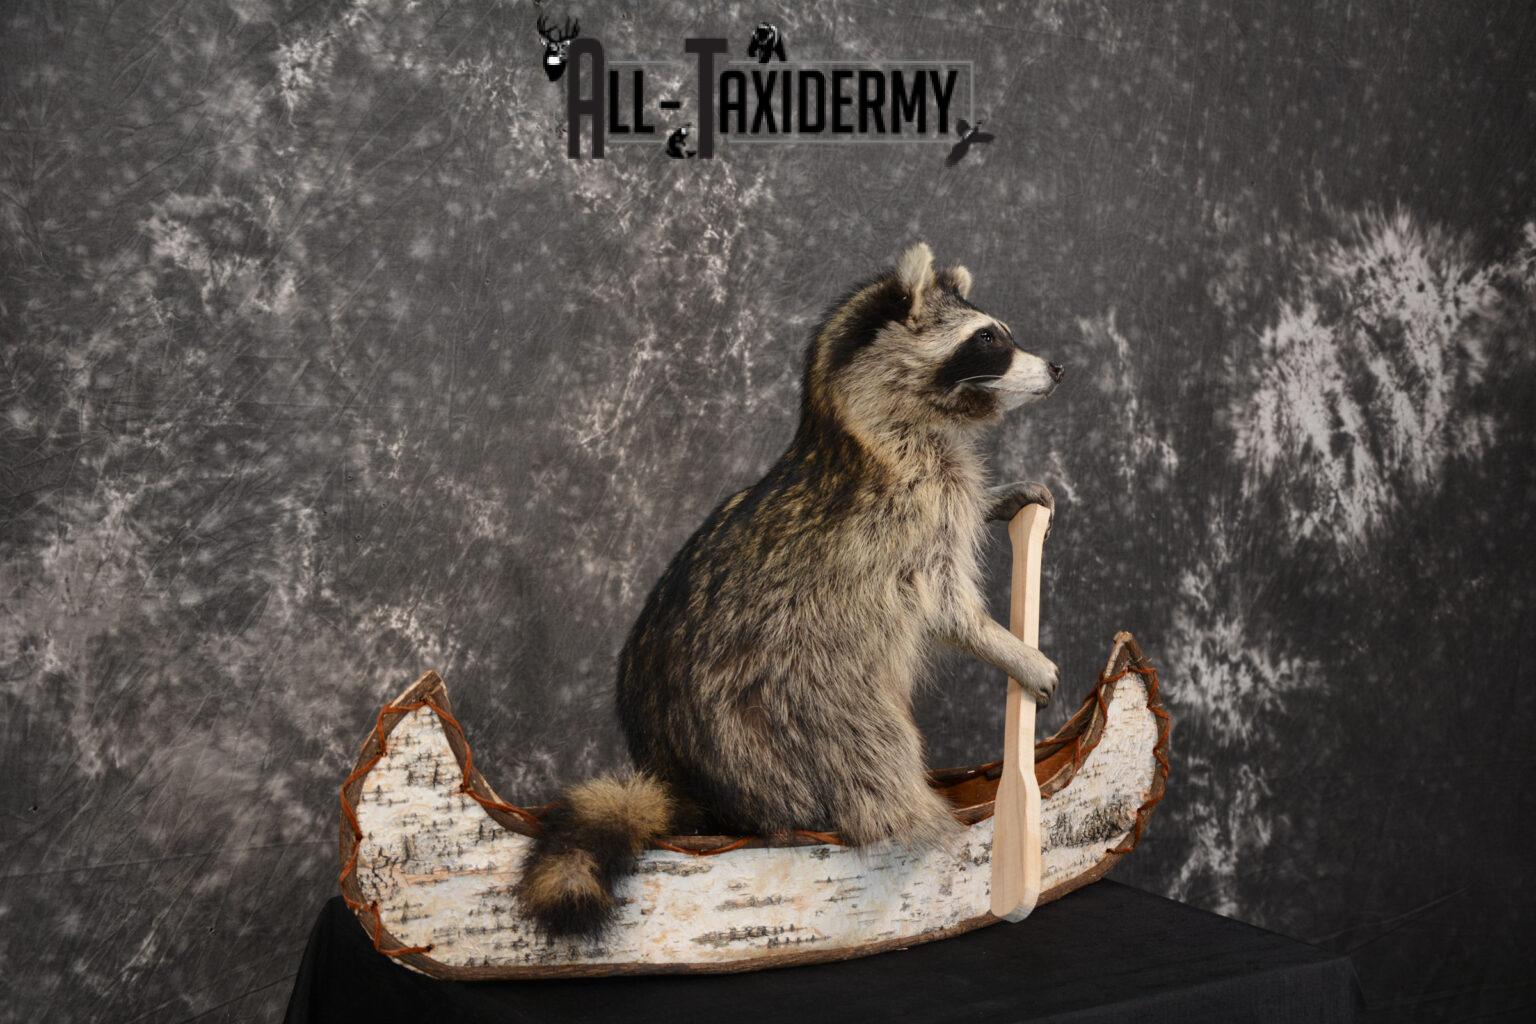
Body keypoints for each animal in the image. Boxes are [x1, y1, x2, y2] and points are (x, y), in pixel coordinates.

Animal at [515, 243, 1063, 938]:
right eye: (989, 340)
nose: (1057, 368)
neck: (859, 424)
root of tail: (691, 789)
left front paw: (999, 497)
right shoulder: (900, 518)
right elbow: (946, 606)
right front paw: (1014, 651)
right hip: (787, 709)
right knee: (870, 743)